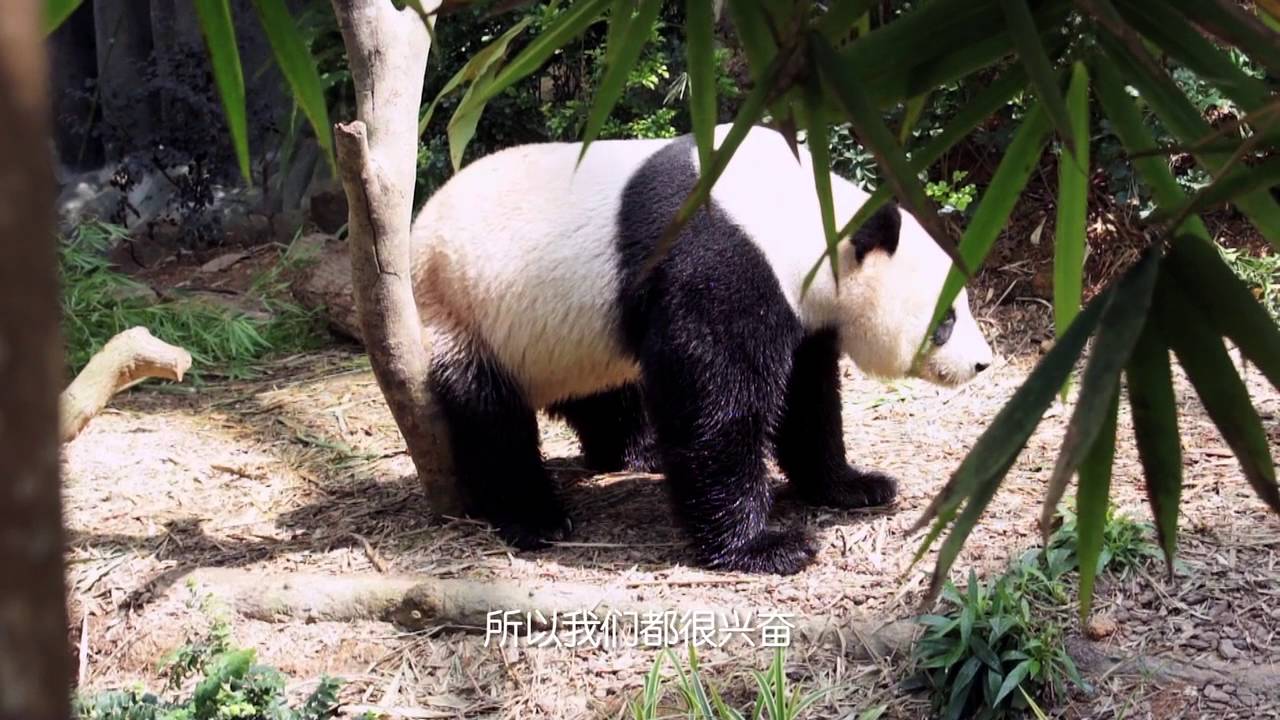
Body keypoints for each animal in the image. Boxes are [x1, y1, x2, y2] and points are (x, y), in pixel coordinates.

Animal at [409, 124, 993, 575]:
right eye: (946, 319)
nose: (982, 363)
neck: (796, 211)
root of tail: (416, 232)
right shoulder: (718, 260)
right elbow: (716, 403)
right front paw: (767, 546)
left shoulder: (804, 310)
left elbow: (807, 400)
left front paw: (855, 486)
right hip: (463, 312)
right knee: (491, 418)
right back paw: (536, 516)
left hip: (569, 334)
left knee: (602, 393)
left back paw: (636, 452)